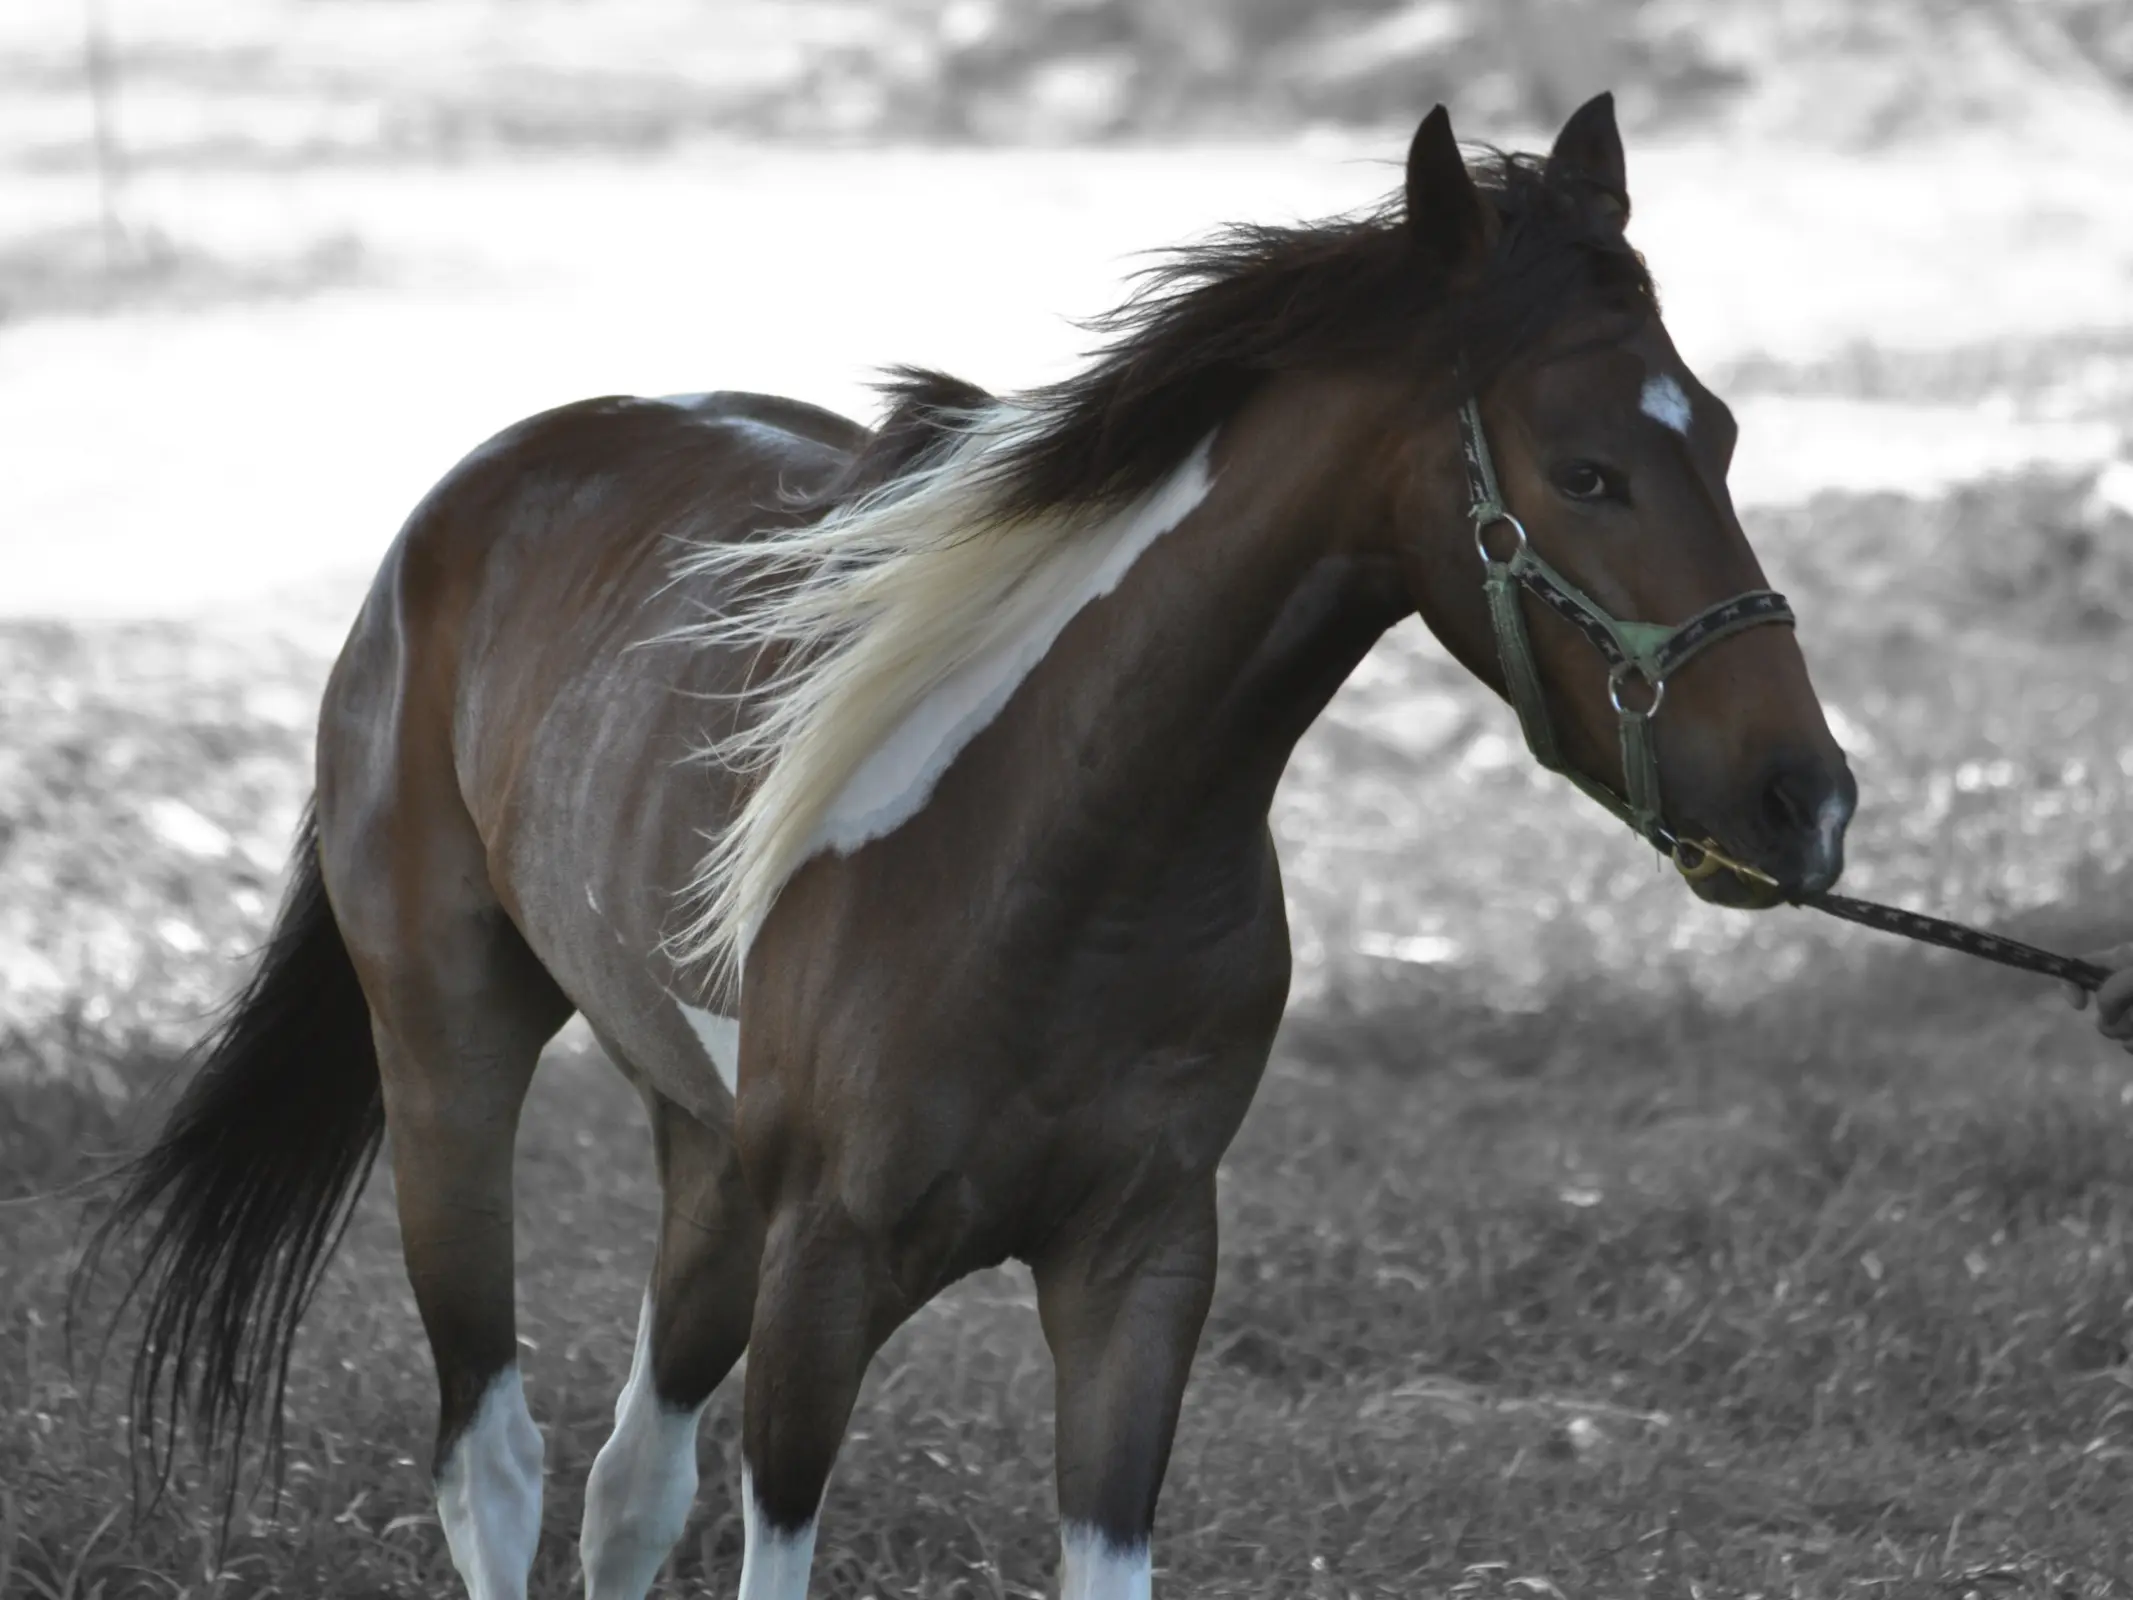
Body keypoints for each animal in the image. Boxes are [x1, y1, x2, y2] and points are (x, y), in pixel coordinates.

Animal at [81, 94, 1855, 1600]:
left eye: (1721, 433)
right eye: (1586, 470)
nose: (1806, 802)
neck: (1060, 850)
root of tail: (466, 503)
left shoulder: (1139, 1271)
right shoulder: (827, 1281)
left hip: (704, 1151)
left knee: (623, 1482)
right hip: (451, 1061)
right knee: (494, 1465)